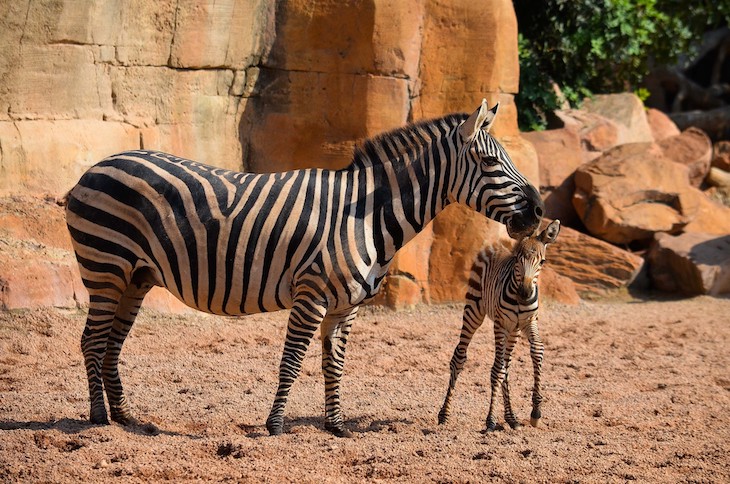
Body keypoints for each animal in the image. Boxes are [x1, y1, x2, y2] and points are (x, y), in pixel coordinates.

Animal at [65, 99, 545, 437]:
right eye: (490, 162)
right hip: (106, 268)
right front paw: (275, 426)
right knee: (92, 340)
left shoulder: (346, 305)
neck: (366, 215)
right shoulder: (311, 294)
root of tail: (97, 166)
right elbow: (292, 361)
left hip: (136, 276)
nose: (539, 210)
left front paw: (336, 425)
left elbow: (334, 363)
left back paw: (125, 417)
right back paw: (97, 417)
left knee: (112, 343)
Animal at [438, 219, 560, 431]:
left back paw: (511, 418)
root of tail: (495, 245)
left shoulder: (528, 322)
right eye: (517, 259)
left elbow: (537, 351)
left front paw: (536, 411)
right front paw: (491, 420)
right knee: (459, 358)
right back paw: (444, 414)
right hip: (474, 310)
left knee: (506, 366)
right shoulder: (501, 325)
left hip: (514, 331)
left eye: (542, 262)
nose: (525, 293)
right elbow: (496, 370)